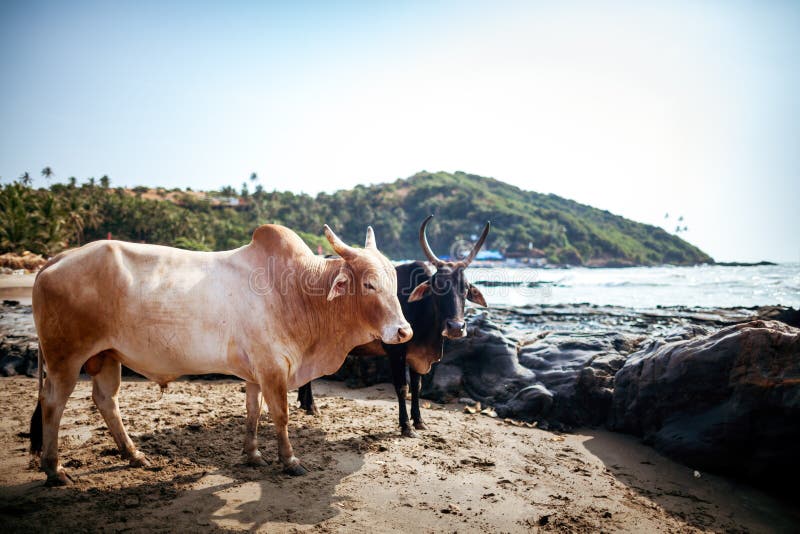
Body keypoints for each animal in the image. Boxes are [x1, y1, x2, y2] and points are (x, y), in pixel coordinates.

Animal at [28, 224, 412, 485]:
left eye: (394, 282)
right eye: (368, 284)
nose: (404, 332)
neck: (298, 292)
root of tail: (57, 259)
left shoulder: (258, 372)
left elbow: (254, 412)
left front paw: (253, 455)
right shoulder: (273, 368)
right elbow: (281, 416)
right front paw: (289, 461)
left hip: (108, 356)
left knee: (106, 400)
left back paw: (134, 455)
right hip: (65, 358)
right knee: (53, 403)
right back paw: (55, 470)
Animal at [297, 215, 489, 437]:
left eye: (466, 288)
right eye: (438, 286)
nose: (456, 327)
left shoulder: (417, 355)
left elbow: (417, 386)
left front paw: (419, 421)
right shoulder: (396, 350)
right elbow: (402, 387)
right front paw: (406, 425)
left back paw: (304, 402)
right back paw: (311, 405)